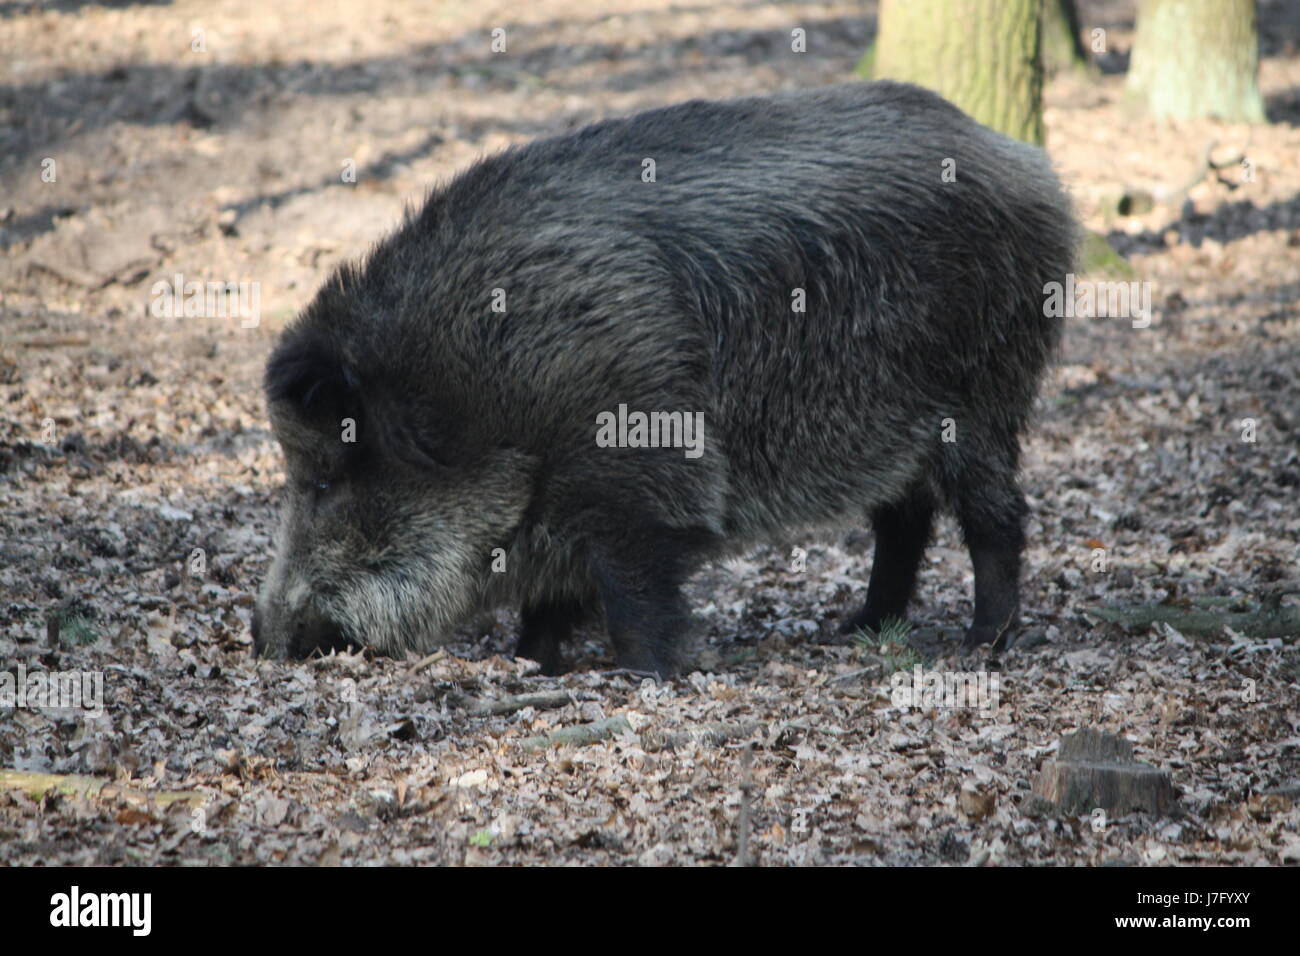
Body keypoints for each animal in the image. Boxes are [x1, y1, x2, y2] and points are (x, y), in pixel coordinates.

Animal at [252, 81, 1078, 677]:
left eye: (323, 481)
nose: (262, 638)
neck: (479, 395)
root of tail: (1031, 166)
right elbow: (552, 602)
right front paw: (532, 664)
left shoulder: (635, 479)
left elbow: (635, 594)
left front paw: (643, 675)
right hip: (895, 429)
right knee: (903, 520)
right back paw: (860, 626)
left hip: (981, 399)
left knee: (996, 516)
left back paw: (980, 644)